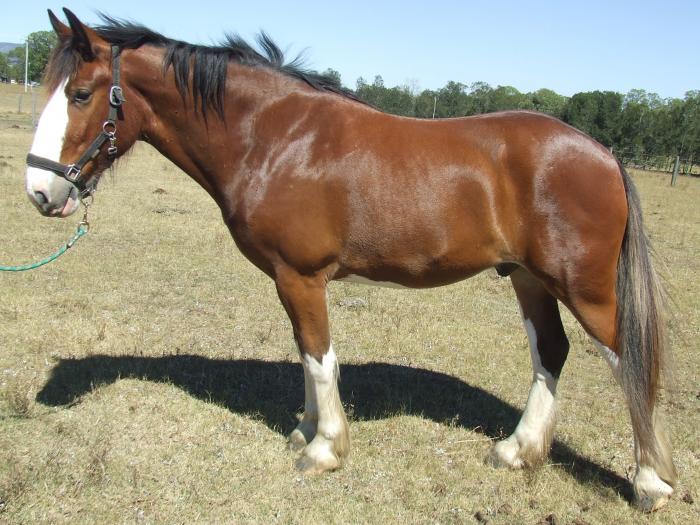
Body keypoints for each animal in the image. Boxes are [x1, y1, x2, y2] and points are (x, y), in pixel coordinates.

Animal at [24, 9, 676, 511]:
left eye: (80, 94)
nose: (40, 192)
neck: (275, 138)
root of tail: (601, 152)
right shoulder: (290, 281)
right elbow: (305, 354)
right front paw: (305, 431)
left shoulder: (301, 277)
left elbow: (319, 357)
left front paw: (324, 448)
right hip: (528, 279)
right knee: (551, 352)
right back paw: (518, 450)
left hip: (586, 289)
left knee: (629, 362)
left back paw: (651, 483)